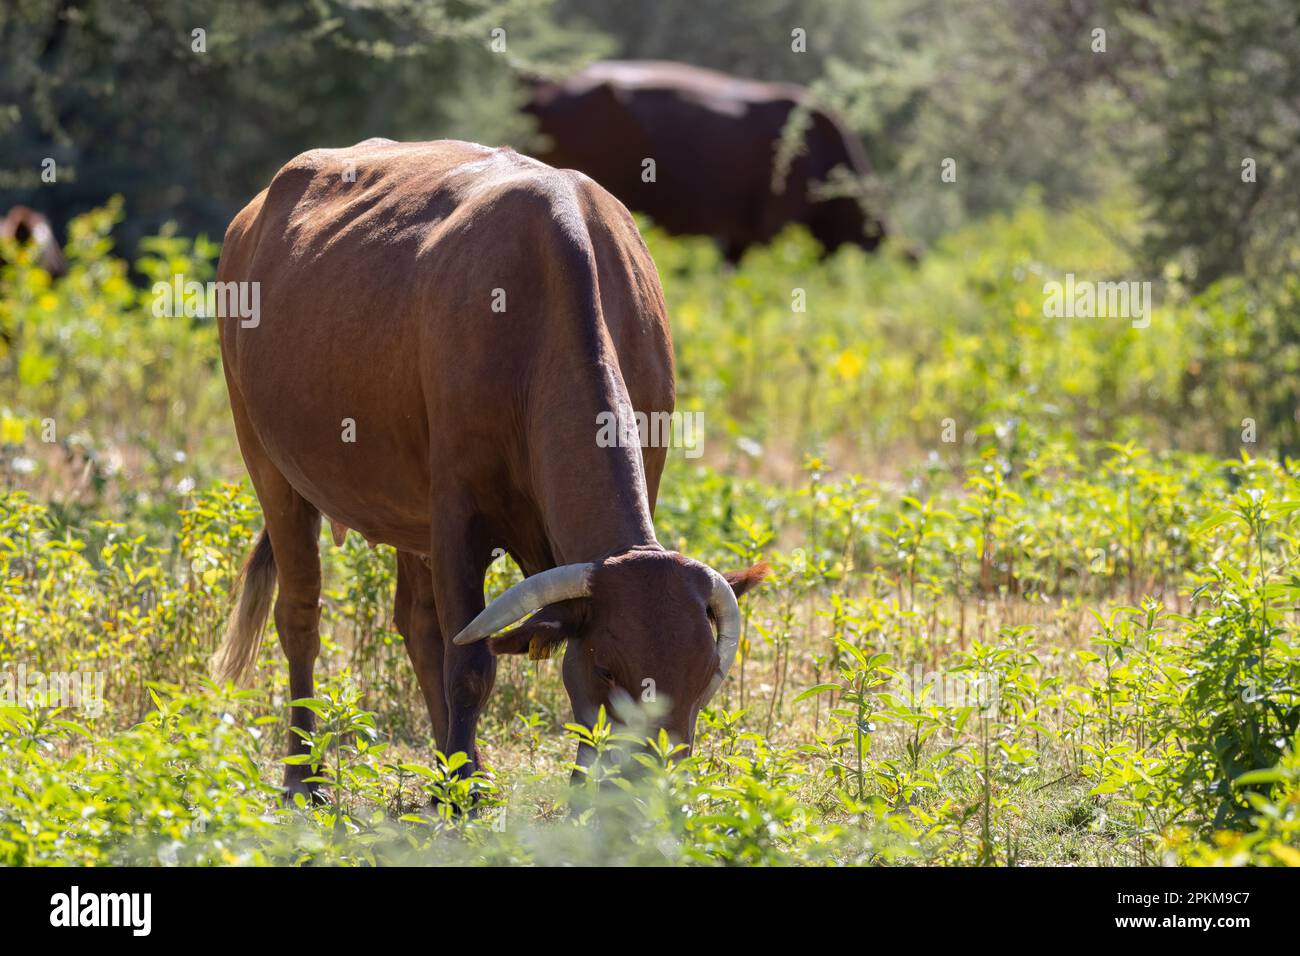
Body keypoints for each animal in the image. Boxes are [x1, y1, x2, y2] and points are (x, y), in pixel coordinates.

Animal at [212, 138, 767, 801]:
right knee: (302, 615)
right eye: (609, 666)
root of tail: (250, 216)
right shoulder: (459, 512)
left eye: (706, 672)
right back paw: (307, 775)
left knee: (418, 626)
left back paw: (455, 764)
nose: (649, 789)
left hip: (407, 512)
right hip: (269, 467)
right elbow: (471, 662)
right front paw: (459, 796)